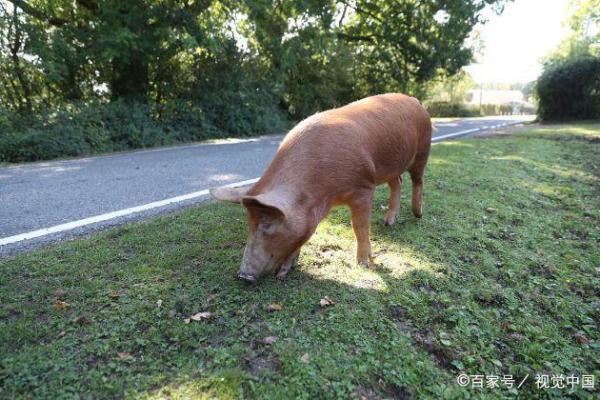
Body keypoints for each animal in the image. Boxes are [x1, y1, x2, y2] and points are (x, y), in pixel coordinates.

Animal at [211, 92, 432, 282]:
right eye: (249, 223)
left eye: (267, 224)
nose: (243, 275)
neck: (325, 195)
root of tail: (415, 101)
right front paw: (284, 271)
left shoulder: (363, 187)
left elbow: (359, 226)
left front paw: (364, 264)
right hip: (391, 167)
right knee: (397, 182)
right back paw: (389, 223)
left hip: (423, 149)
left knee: (417, 180)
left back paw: (417, 214)